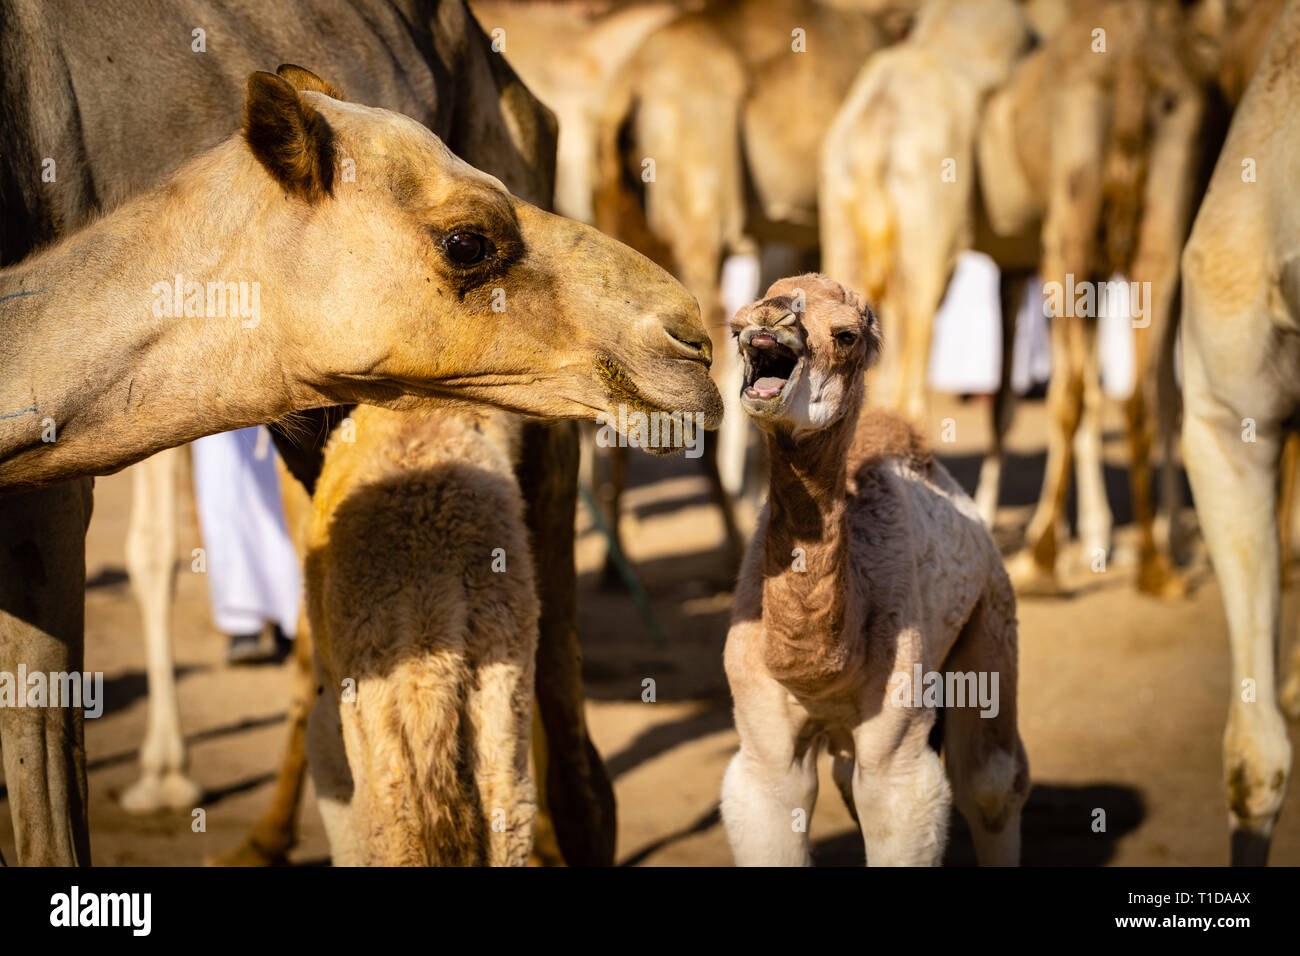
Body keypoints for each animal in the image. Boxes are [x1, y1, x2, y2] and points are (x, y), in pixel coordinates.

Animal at [720, 274, 1028, 866]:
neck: (821, 669)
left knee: (990, 782)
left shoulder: (899, 755)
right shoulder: (763, 751)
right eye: (736, 324)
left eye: (844, 335)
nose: (770, 318)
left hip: (993, 612)